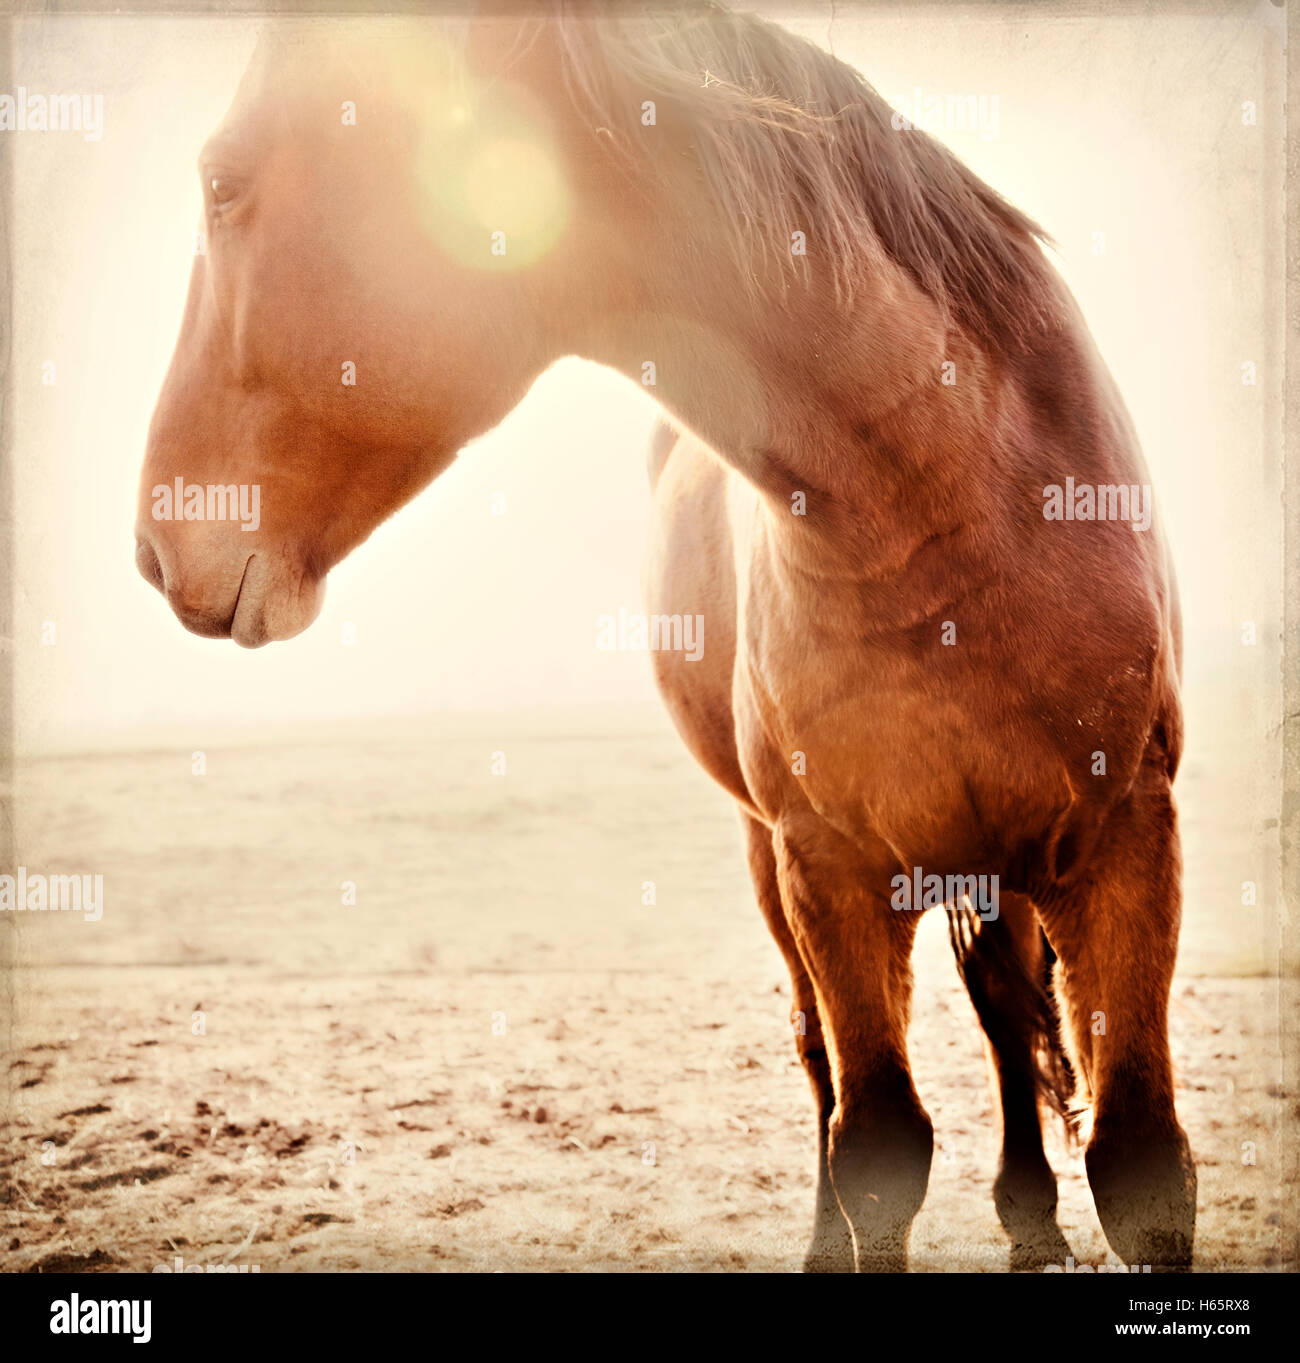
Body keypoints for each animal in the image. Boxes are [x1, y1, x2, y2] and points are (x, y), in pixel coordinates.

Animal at [134, 3, 1196, 1272]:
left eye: (221, 182)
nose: (153, 549)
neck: (949, 496)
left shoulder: (1125, 834)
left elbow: (1137, 1159)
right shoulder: (825, 865)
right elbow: (875, 1145)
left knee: (995, 1009)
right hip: (778, 861)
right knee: (824, 1058)